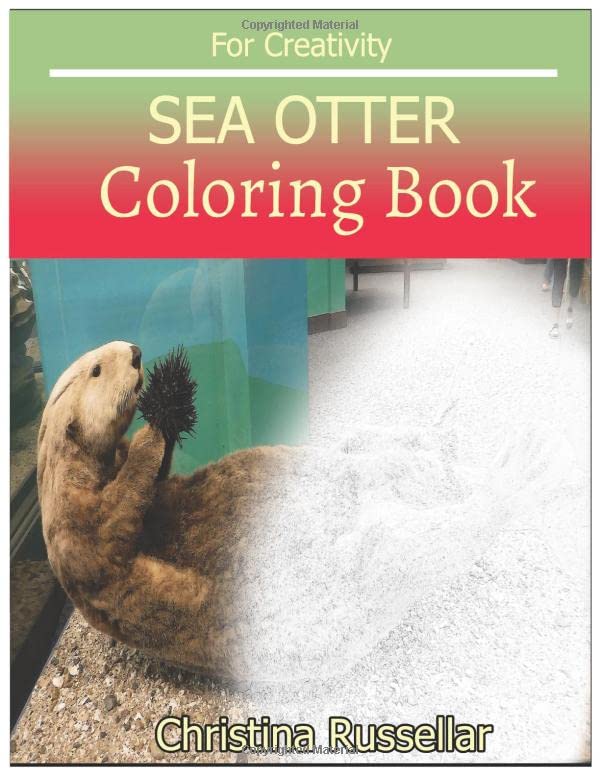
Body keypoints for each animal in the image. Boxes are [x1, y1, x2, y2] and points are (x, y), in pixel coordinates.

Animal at [37, 340, 298, 680]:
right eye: (96, 370)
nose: (135, 352)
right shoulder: (74, 520)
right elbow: (115, 518)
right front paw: (153, 427)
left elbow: (154, 482)